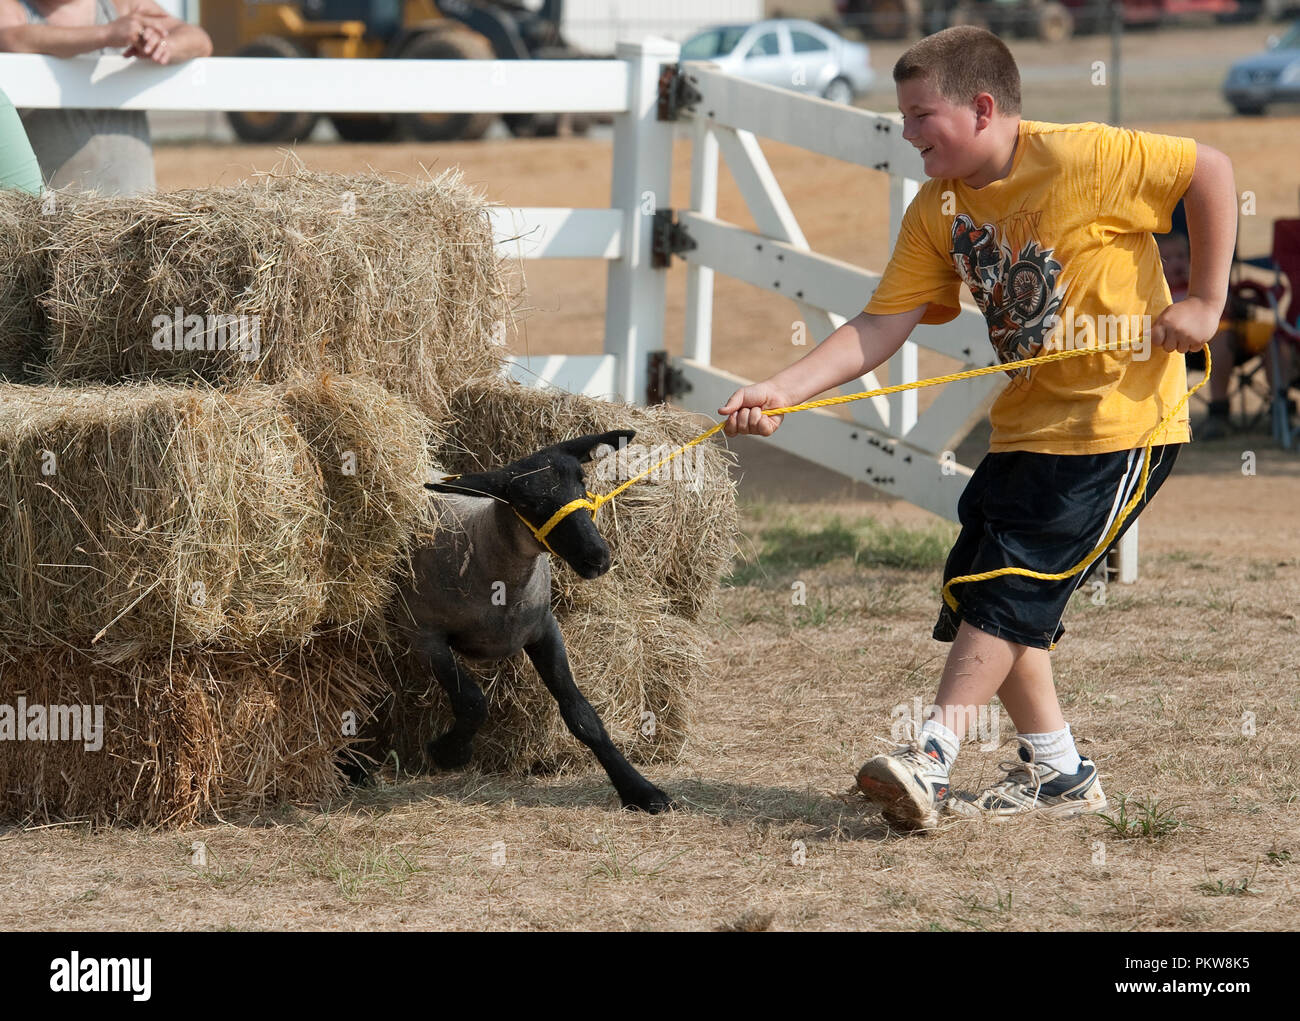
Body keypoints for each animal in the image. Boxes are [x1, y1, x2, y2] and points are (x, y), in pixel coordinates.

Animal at [386, 429, 676, 813]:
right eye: (529, 504)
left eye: (582, 484)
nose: (597, 557)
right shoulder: (424, 635)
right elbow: (472, 700)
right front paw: (448, 752)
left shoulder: (544, 631)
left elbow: (582, 714)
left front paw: (640, 790)